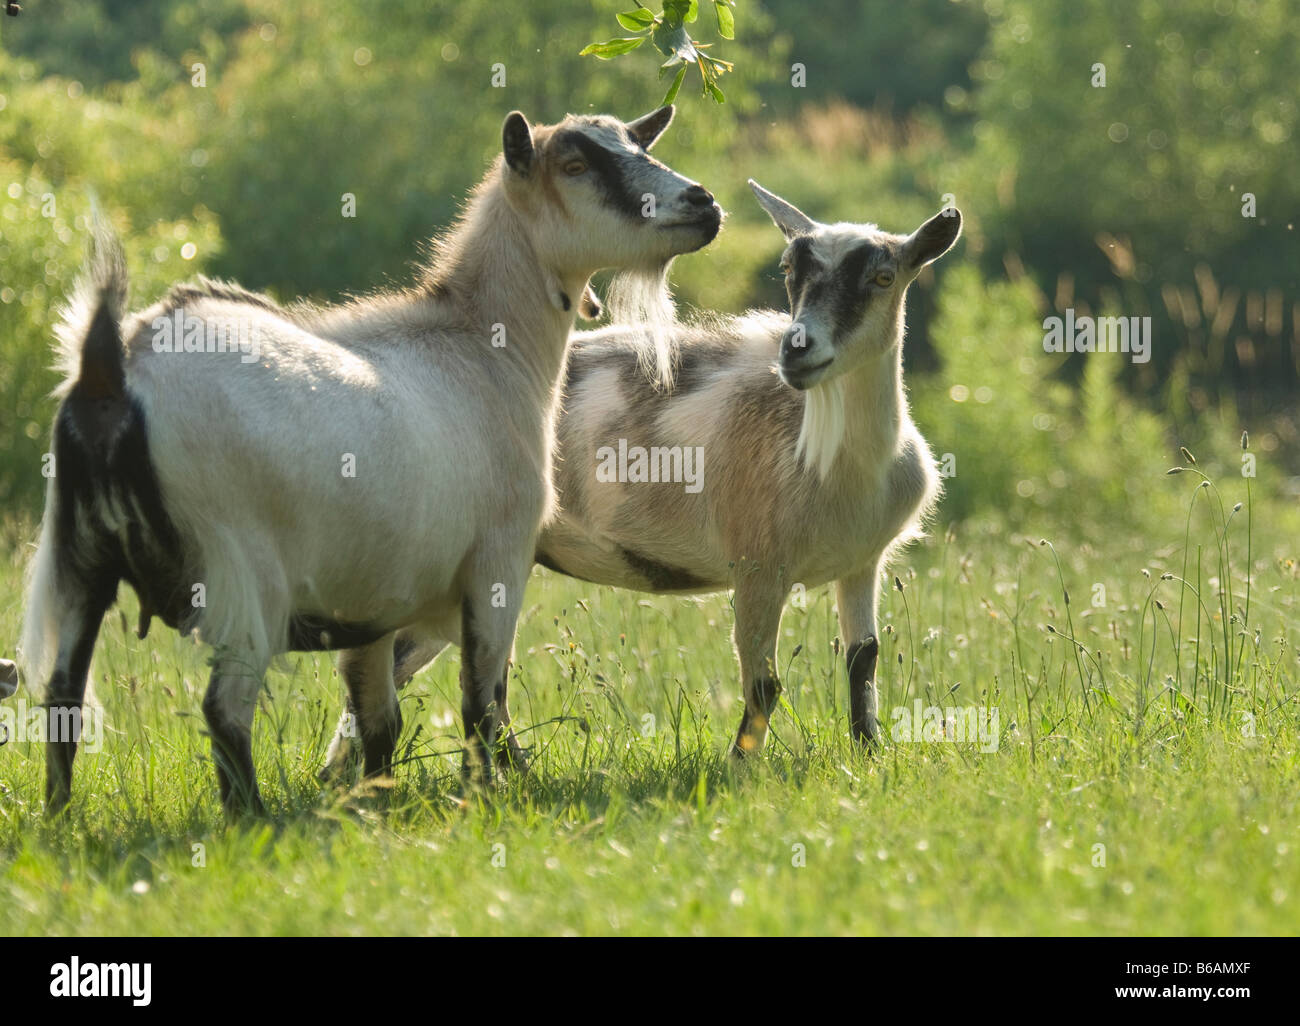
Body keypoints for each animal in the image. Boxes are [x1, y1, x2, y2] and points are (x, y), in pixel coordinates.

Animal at [17, 106, 722, 815]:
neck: (482, 349)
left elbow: (379, 720)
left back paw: (62, 820)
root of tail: (114, 365)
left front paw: (372, 805)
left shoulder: (374, 599)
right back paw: (252, 820)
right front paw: (479, 798)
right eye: (575, 166)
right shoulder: (497, 559)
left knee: (62, 703)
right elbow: (481, 701)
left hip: (80, 561)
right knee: (225, 711)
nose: (704, 202)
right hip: (242, 574)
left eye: (637, 143)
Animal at [322, 181, 960, 778]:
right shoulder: (759, 567)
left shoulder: (862, 563)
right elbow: (764, 684)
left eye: (883, 276)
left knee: (421, 660)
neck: (840, 462)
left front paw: (870, 754)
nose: (797, 350)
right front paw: (739, 767)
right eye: (788, 270)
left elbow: (863, 661)